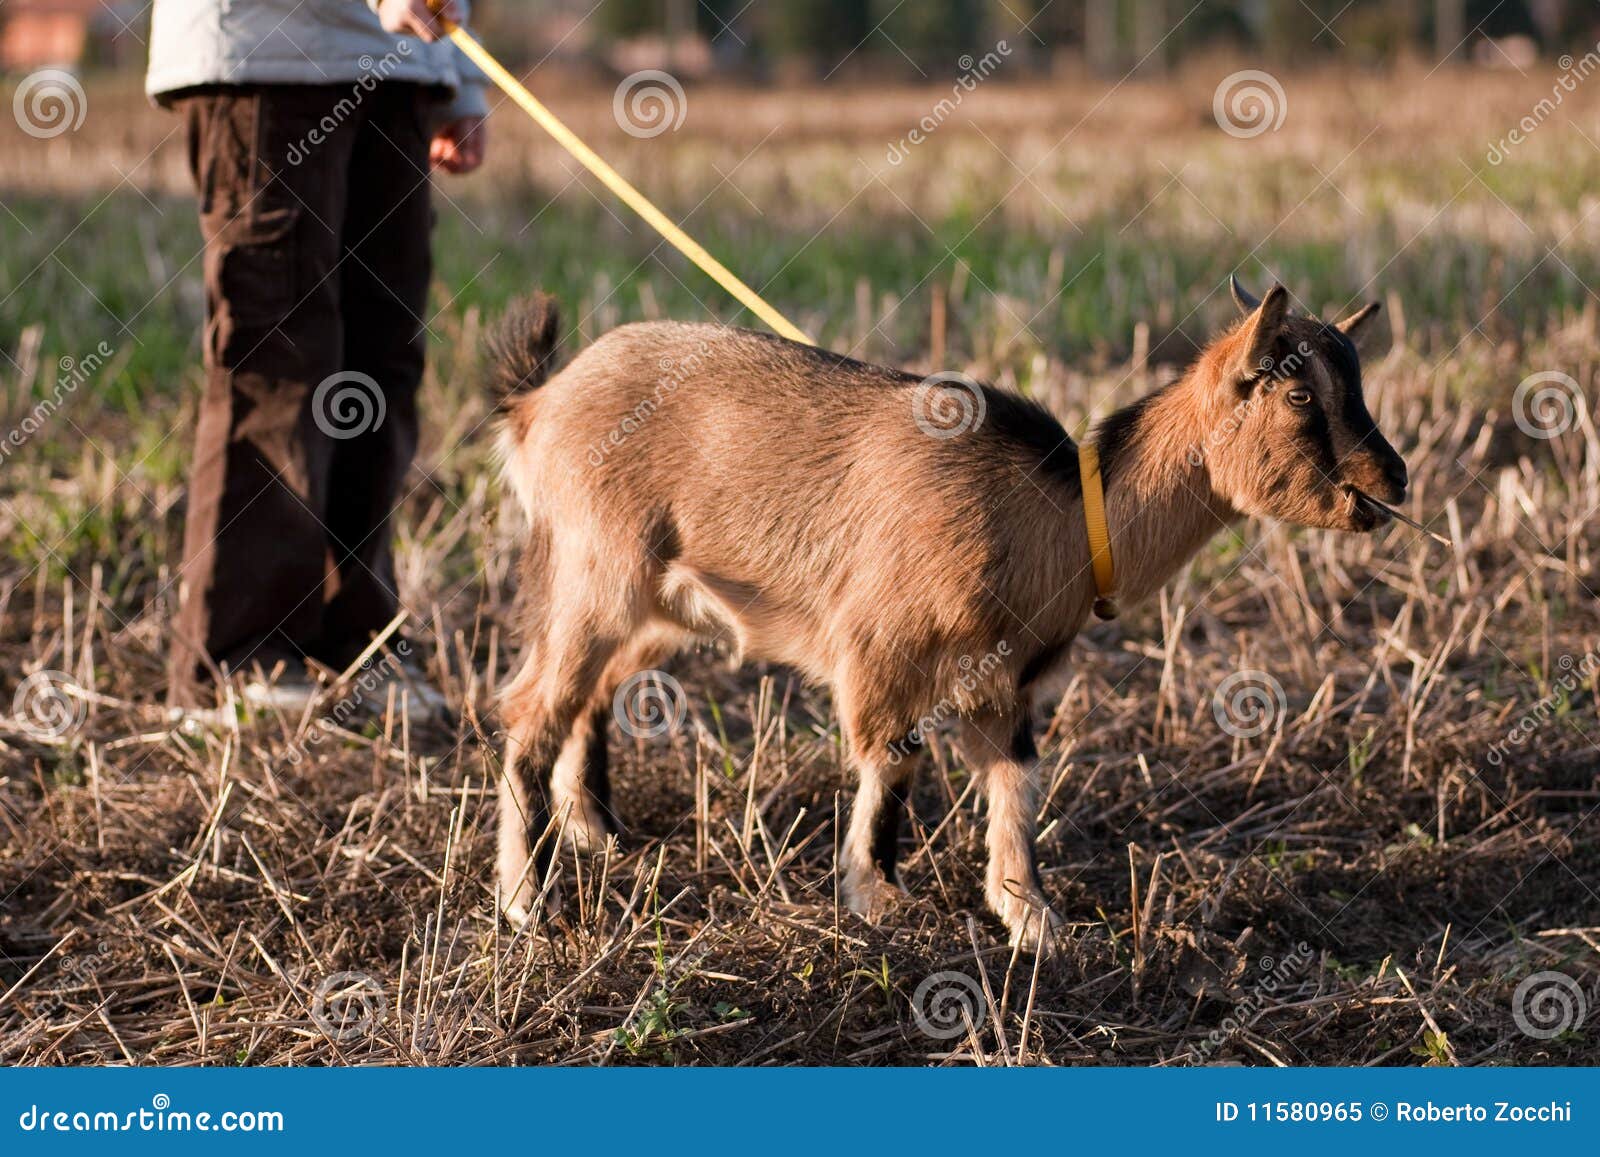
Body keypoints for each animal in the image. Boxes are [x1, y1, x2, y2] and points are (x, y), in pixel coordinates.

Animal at [488, 279, 1408, 946]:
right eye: (1299, 398)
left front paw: (1032, 917)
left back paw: (596, 832)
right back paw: (529, 901)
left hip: (656, 608)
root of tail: (539, 403)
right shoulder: (881, 651)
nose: (1394, 480)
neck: (1065, 514)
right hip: (595, 574)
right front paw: (880, 900)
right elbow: (892, 763)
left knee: (587, 699)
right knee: (528, 710)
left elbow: (1016, 783)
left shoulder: (1005, 685)